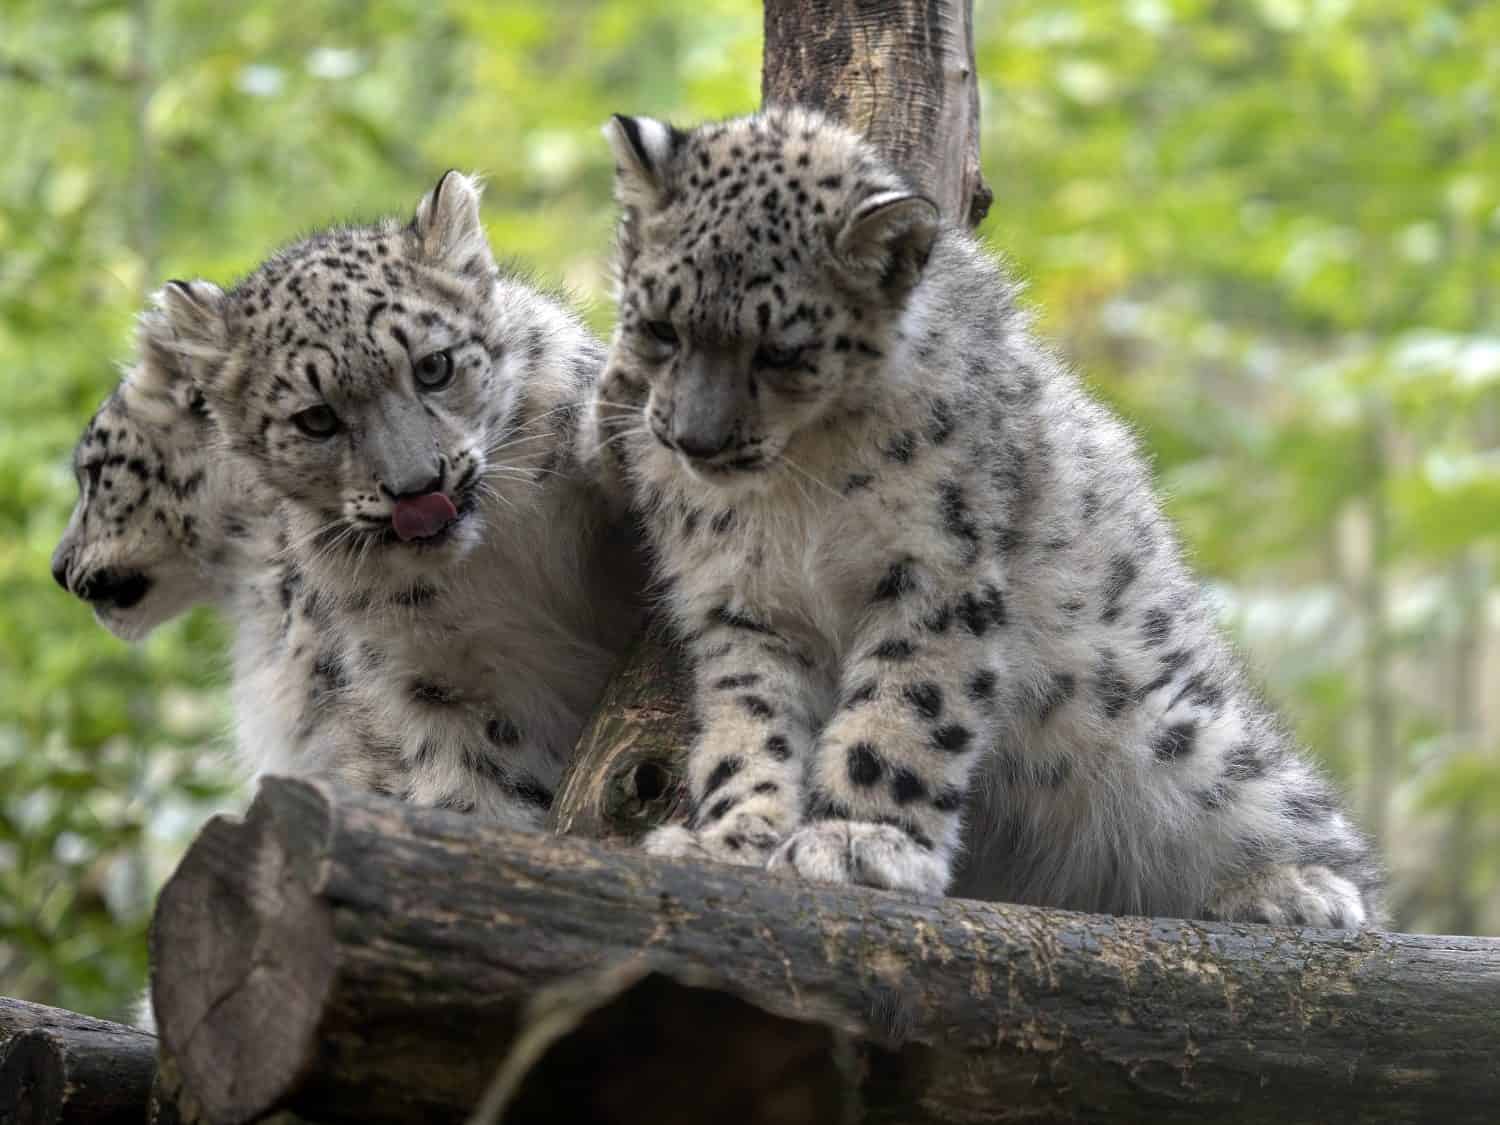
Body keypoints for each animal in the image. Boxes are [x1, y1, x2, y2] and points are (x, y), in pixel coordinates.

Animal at [158, 171, 645, 829]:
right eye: (316, 419)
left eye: (433, 366)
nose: (419, 487)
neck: (502, 560)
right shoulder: (438, 681)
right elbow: (473, 782)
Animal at [586, 107, 1383, 927]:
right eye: (661, 327)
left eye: (781, 351)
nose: (695, 438)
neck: (793, 490)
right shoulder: (744, 607)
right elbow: (749, 726)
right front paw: (734, 835)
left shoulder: (936, 575)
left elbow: (901, 712)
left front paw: (858, 840)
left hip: (1188, 736)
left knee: (1309, 823)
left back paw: (1297, 890)